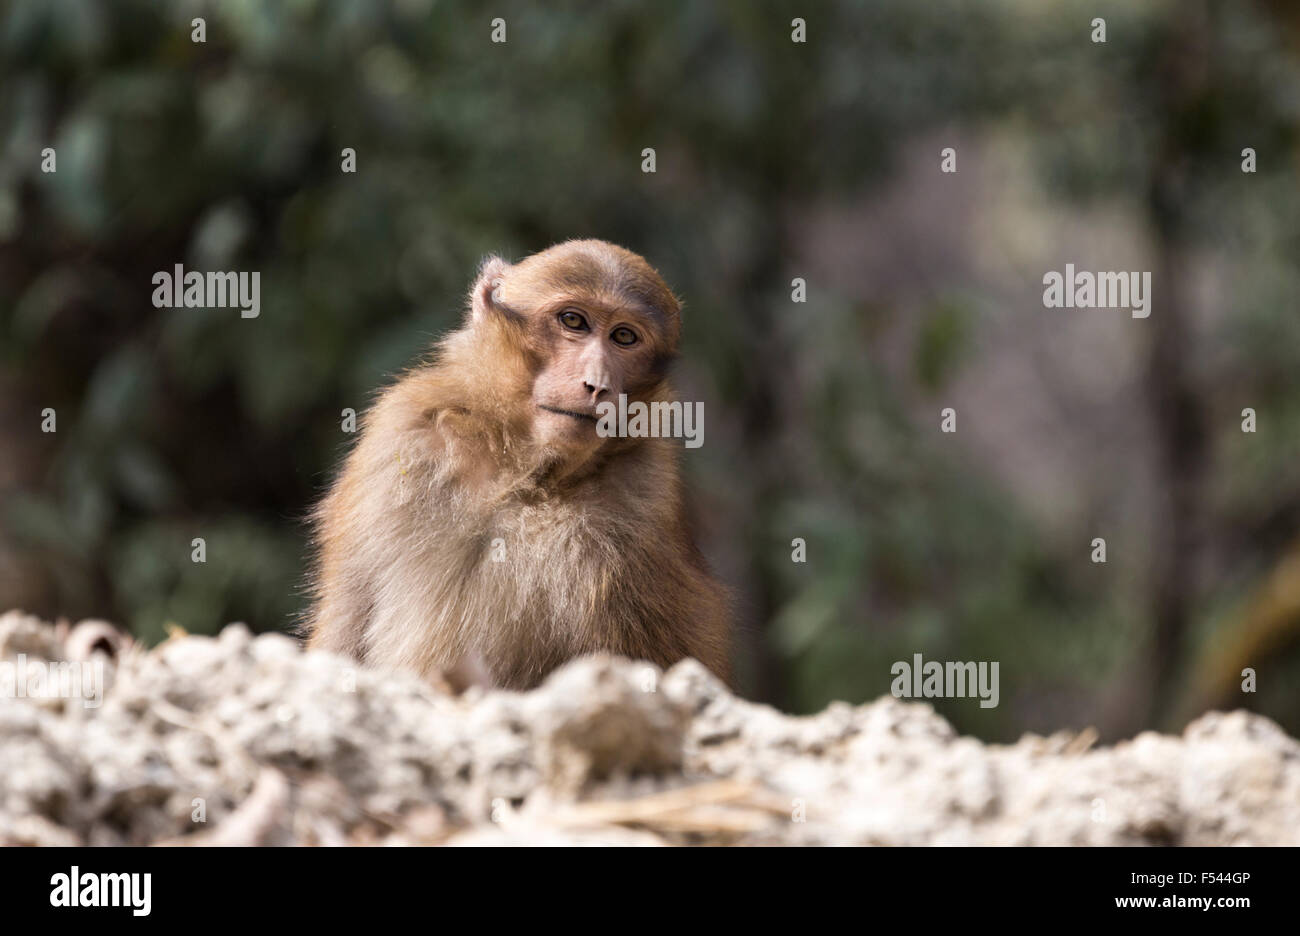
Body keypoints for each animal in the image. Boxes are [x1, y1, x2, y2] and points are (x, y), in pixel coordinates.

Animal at [304, 239, 731, 690]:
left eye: (624, 337)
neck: (523, 474)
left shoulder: (643, 497)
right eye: (573, 321)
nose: (597, 384)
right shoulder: (400, 437)